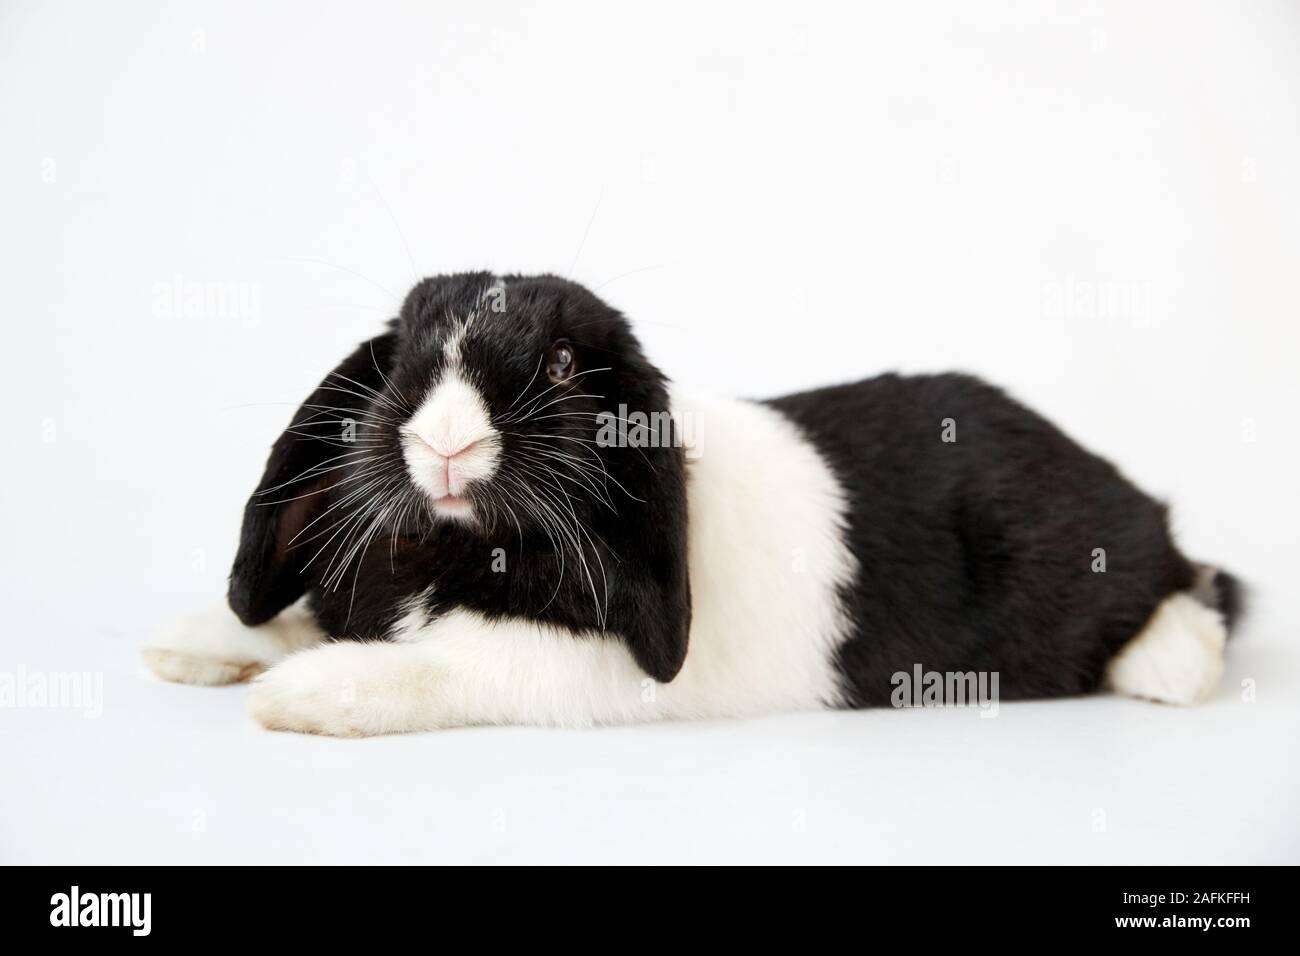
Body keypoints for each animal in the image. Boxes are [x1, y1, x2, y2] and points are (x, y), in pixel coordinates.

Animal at [144, 272, 1243, 736]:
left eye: (560, 362)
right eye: (406, 349)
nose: (444, 442)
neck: (455, 548)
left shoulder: (564, 664)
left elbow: (436, 665)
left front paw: (302, 695)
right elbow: (294, 618)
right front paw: (190, 640)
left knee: (1189, 583)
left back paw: (1173, 667)